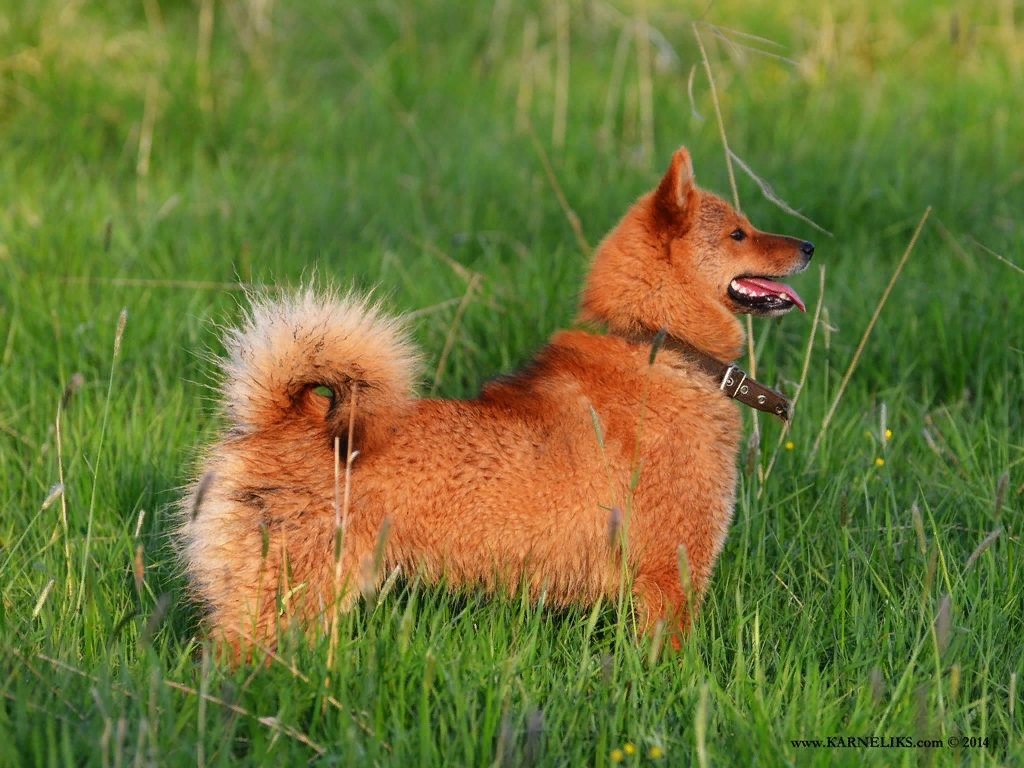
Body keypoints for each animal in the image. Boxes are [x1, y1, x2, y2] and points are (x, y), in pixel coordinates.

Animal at [180, 147, 811, 659]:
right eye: (738, 234)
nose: (807, 245)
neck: (658, 344)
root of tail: (279, 418)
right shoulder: (669, 579)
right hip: (288, 602)